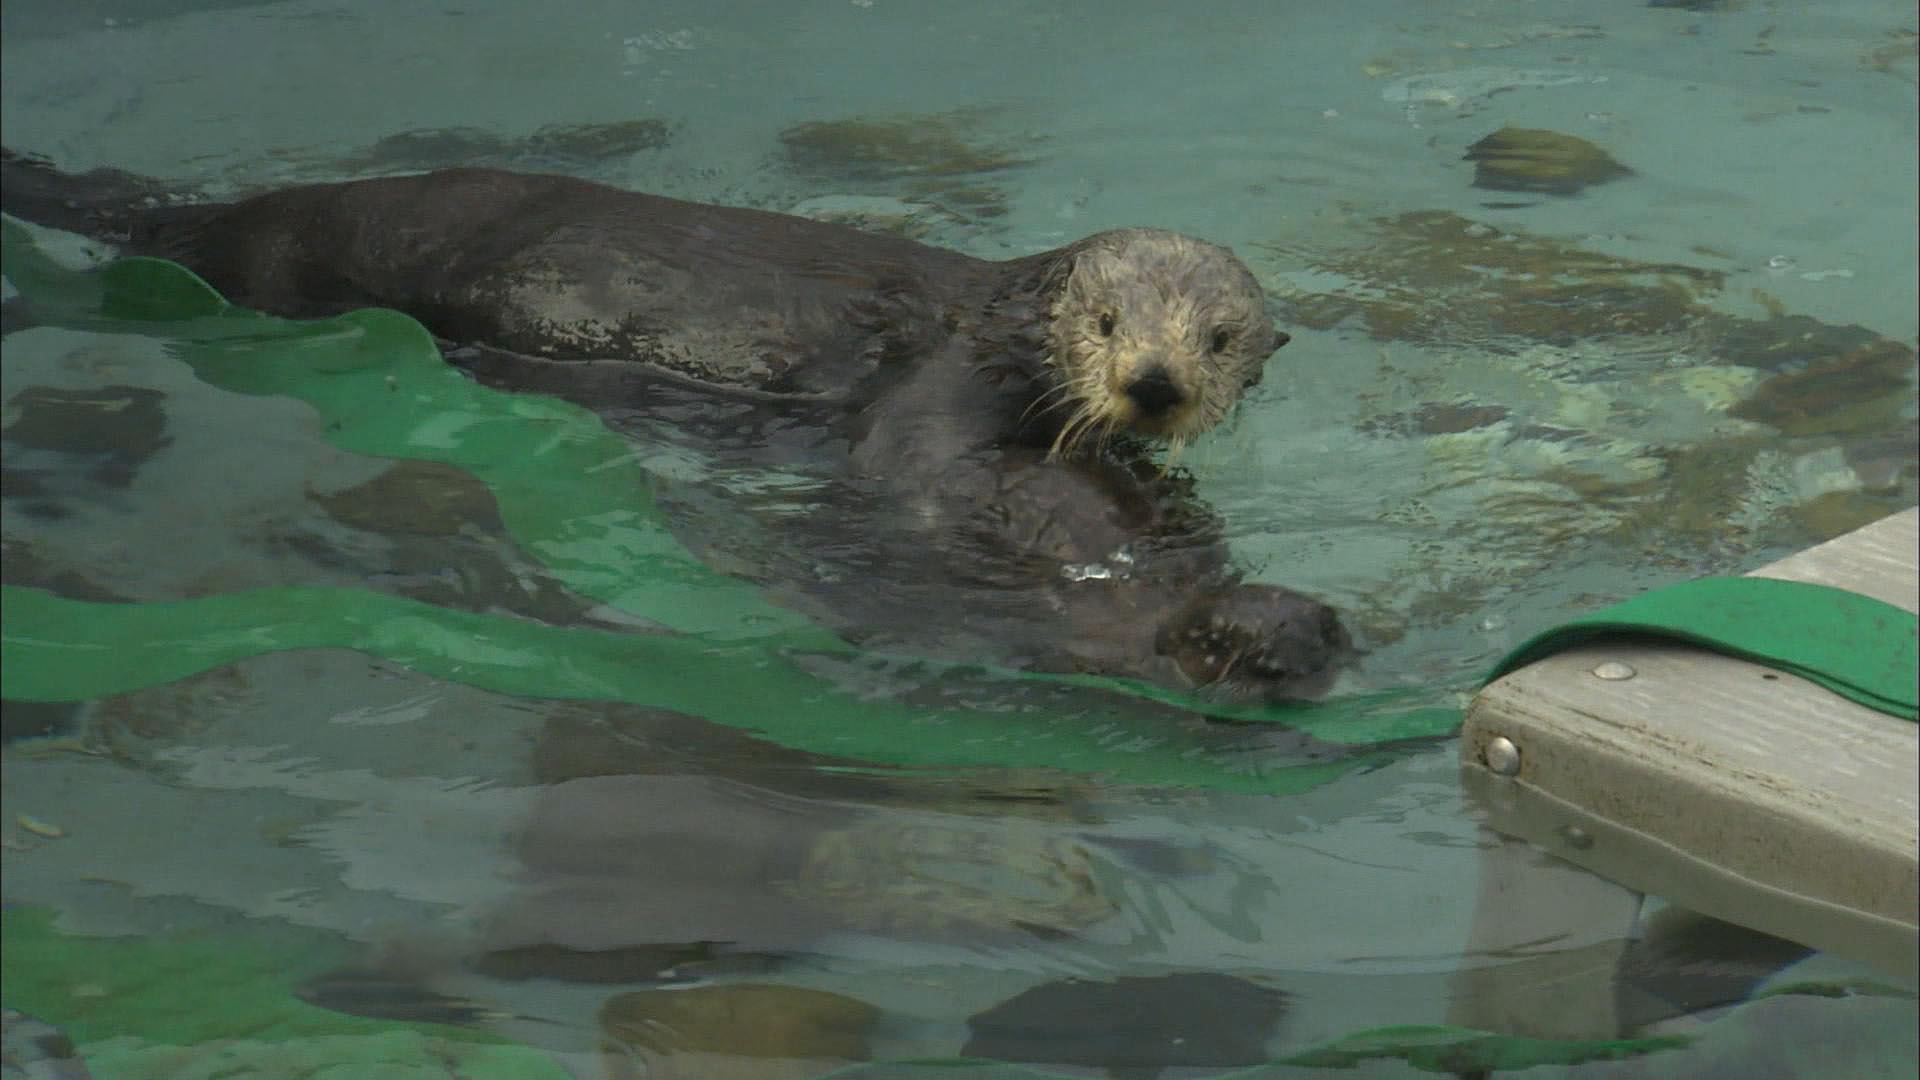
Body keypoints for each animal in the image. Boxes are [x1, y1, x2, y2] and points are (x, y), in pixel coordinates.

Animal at [1, 151, 1348, 700]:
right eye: (1113, 321)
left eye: (1218, 338)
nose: (1155, 385)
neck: (997, 328)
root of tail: (201, 214)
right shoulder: (939, 391)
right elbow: (903, 467)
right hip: (272, 262)